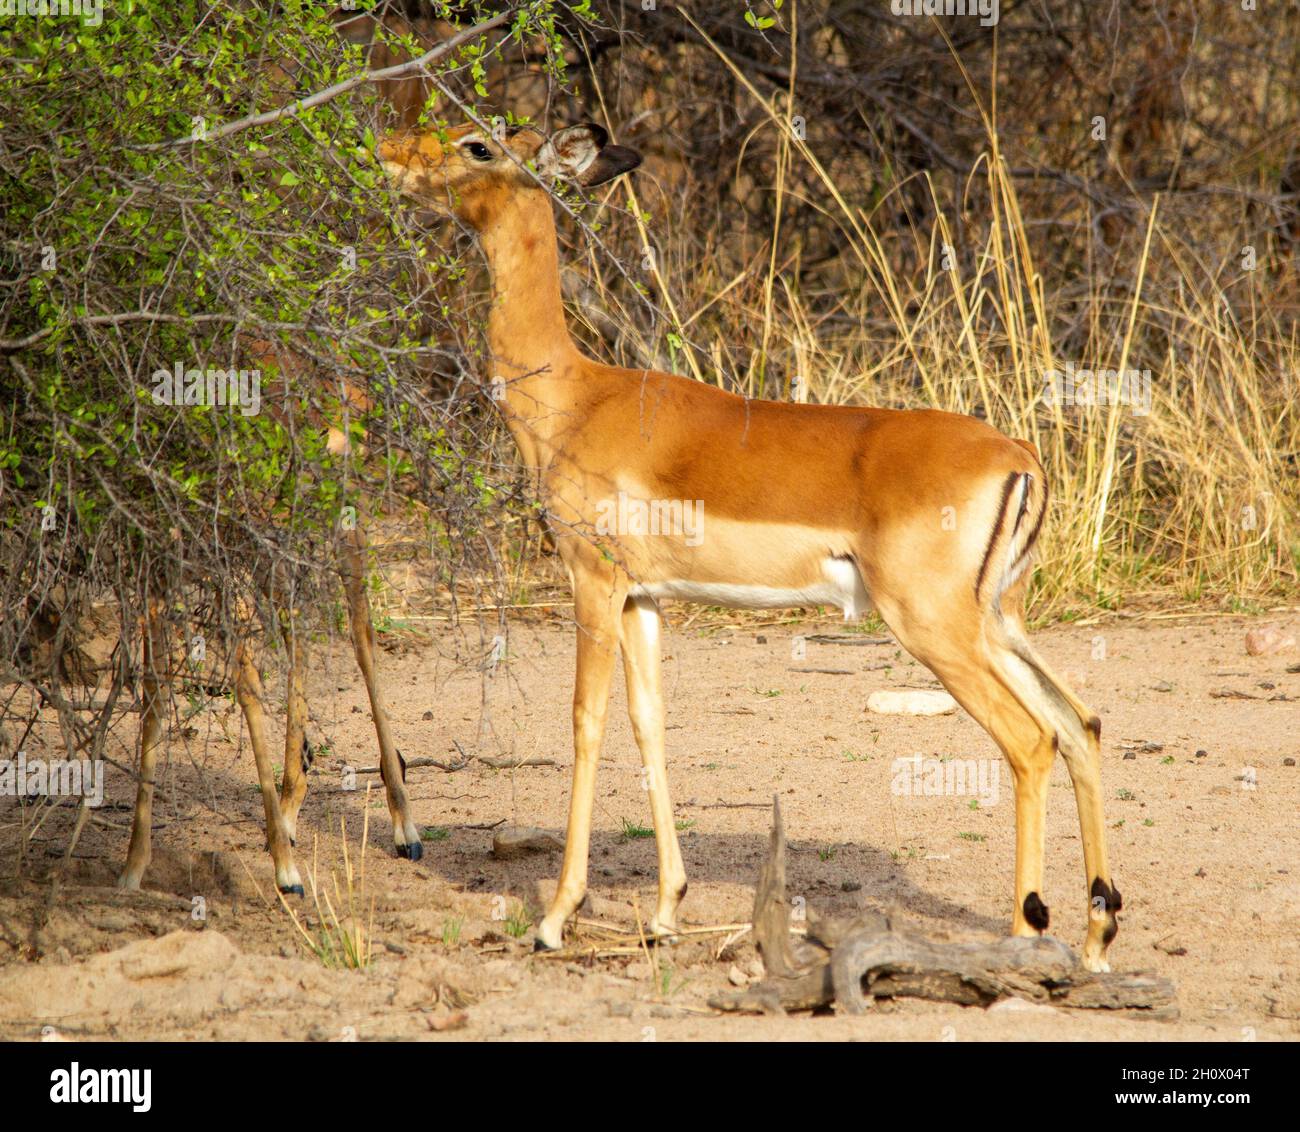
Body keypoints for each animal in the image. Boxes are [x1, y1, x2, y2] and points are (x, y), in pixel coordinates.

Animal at [380, 121, 1122, 971]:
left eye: (476, 145)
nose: (390, 156)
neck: (575, 398)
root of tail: (1020, 455)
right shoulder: (643, 600)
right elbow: (649, 721)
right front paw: (666, 910)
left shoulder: (592, 583)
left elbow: (585, 723)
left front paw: (556, 917)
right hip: (997, 621)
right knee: (1080, 724)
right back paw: (1096, 937)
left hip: (936, 628)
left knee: (1031, 740)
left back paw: (1024, 939)